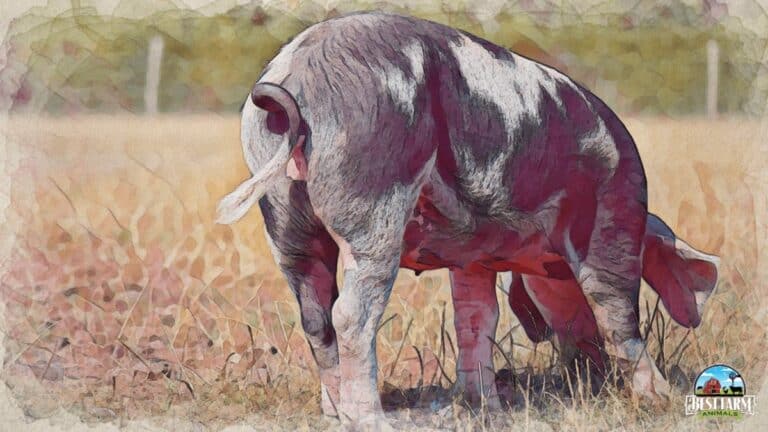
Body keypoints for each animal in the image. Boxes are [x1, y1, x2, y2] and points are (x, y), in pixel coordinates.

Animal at [216, 11, 719, 425]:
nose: (587, 378)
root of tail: (299, 69)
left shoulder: (473, 256)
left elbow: (478, 319)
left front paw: (485, 408)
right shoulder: (612, 212)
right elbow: (616, 309)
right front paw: (660, 400)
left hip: (284, 214)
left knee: (315, 315)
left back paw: (333, 414)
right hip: (375, 190)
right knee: (351, 313)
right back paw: (375, 421)